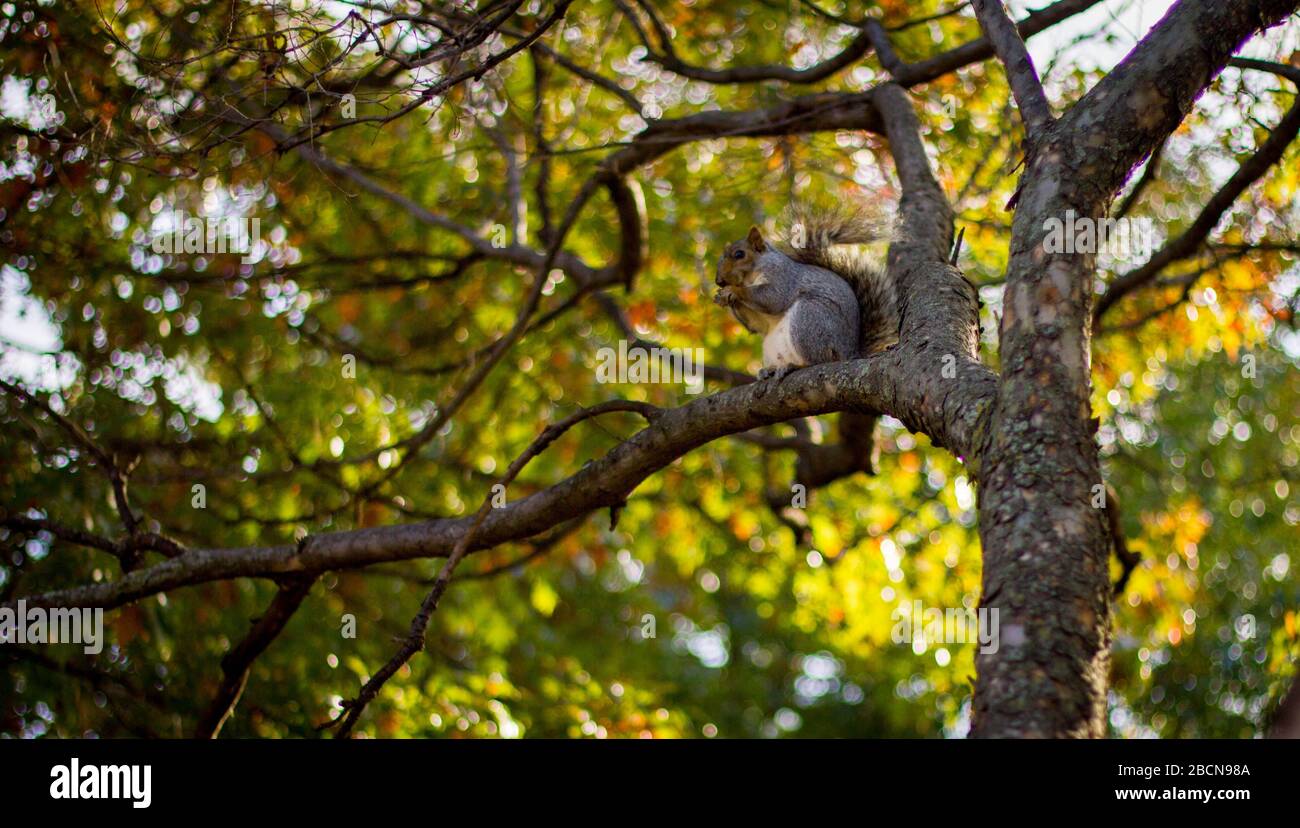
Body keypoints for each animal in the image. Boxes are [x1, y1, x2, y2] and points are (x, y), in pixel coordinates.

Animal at [713, 207, 898, 381]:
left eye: (739, 254)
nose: (719, 281)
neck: (750, 277)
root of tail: (849, 354)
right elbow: (756, 325)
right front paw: (723, 297)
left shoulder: (782, 277)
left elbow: (773, 298)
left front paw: (733, 291)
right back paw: (769, 370)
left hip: (810, 317)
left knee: (819, 360)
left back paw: (795, 366)